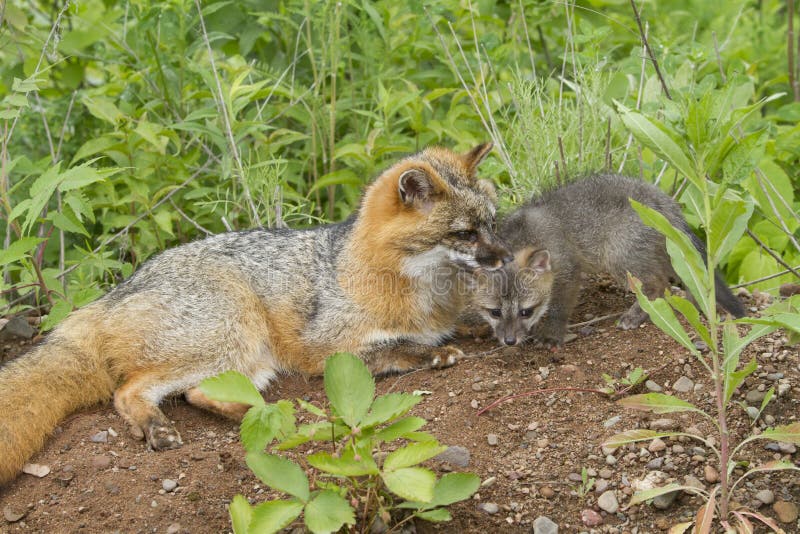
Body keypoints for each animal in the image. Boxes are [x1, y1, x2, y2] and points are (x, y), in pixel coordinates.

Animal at [0, 143, 511, 485]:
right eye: (465, 233)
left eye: (491, 223)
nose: (507, 256)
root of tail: (111, 295)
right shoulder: (325, 347)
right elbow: (394, 348)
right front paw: (434, 353)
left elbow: (458, 324)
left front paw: (481, 326)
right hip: (231, 335)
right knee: (128, 392)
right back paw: (159, 428)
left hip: (251, 360)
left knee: (197, 396)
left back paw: (256, 414)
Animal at [469, 174, 746, 347]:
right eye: (494, 312)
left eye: (526, 311)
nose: (509, 341)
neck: (524, 234)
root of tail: (665, 201)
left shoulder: (569, 270)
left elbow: (559, 308)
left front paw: (551, 334)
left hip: (619, 258)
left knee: (658, 285)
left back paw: (636, 315)